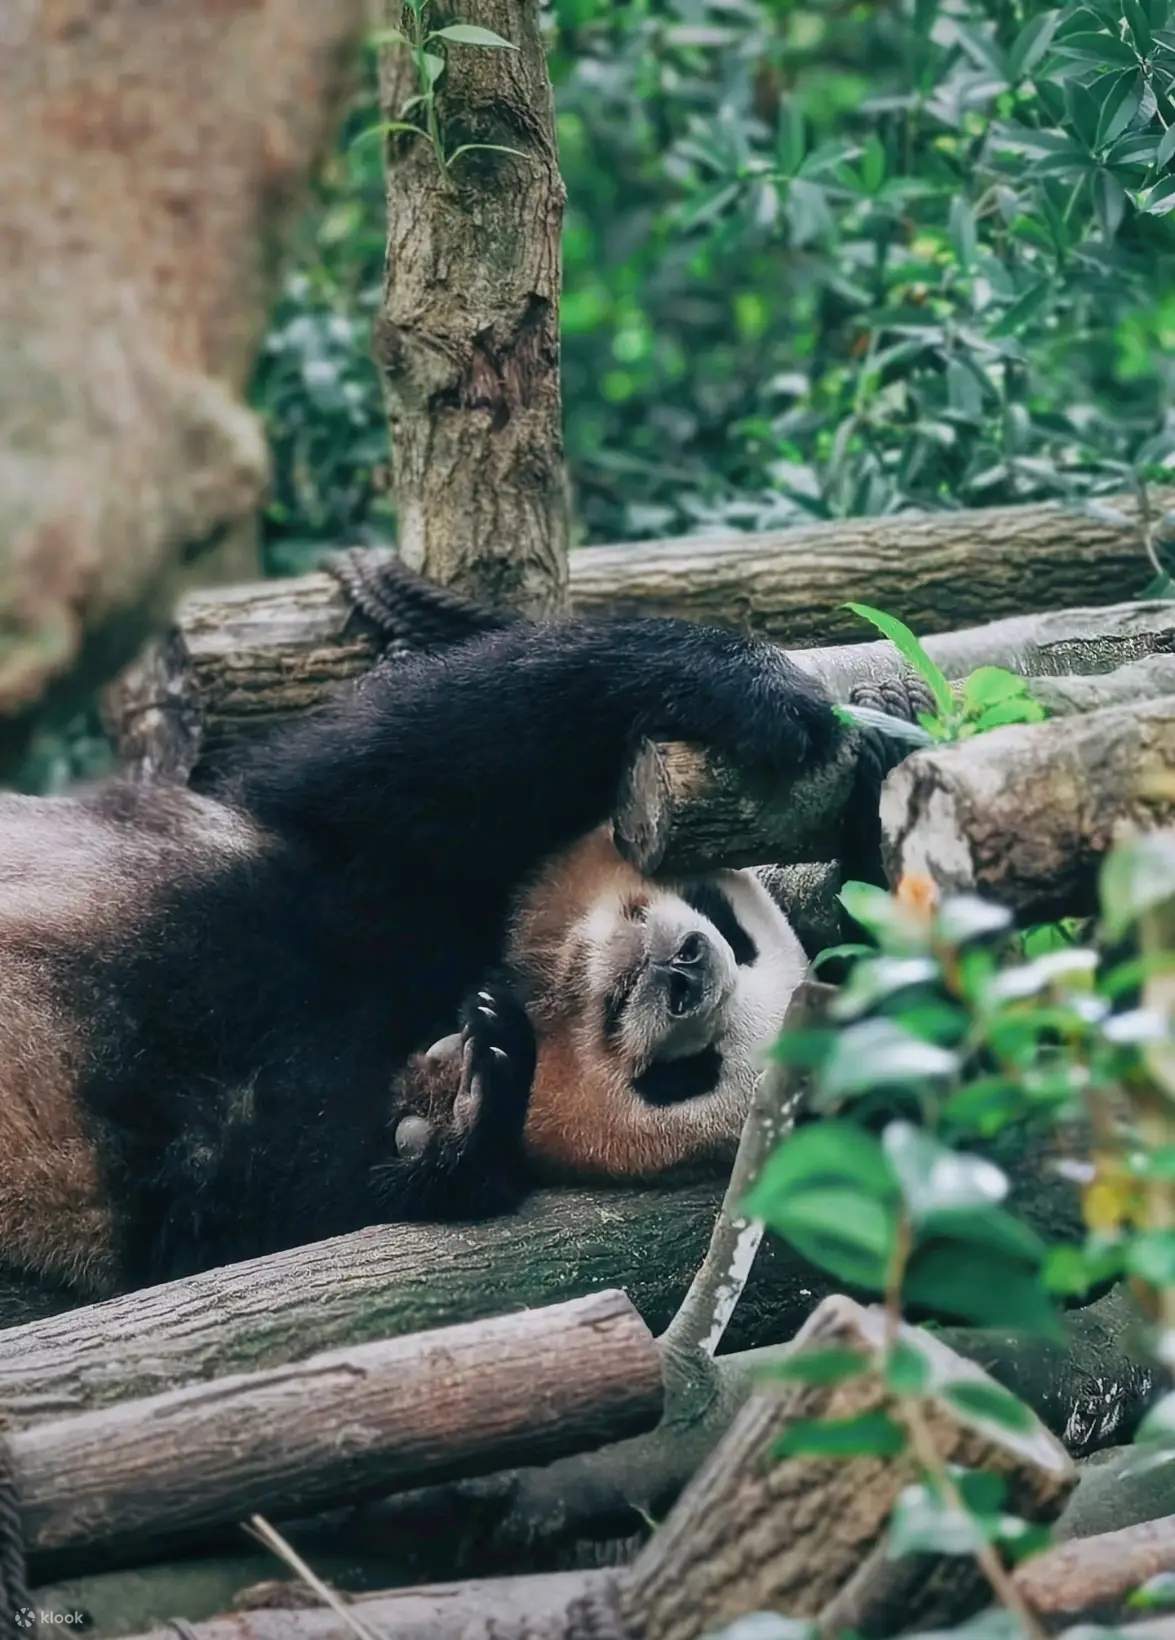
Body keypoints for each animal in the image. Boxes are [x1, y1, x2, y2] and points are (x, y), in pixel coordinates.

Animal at [0, 611, 832, 1299]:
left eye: (689, 1074)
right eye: (732, 925)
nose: (691, 968)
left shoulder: (239, 1182)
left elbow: (239, 1211)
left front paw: (463, 1113)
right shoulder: (368, 870)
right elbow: (449, 744)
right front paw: (760, 694)